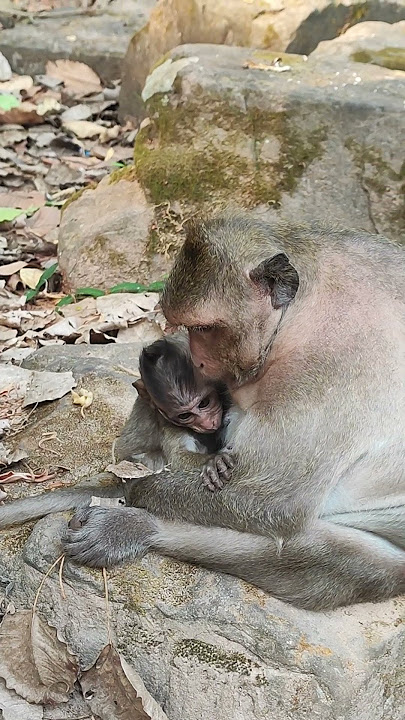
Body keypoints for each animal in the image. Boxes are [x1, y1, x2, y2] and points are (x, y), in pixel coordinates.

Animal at [0, 334, 234, 529]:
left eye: (204, 403)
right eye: (185, 416)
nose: (207, 423)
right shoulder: (165, 420)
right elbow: (177, 457)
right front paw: (212, 461)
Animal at [61, 214, 405, 611]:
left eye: (203, 327)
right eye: (189, 328)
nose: (197, 360)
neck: (299, 316)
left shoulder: (324, 371)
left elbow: (272, 503)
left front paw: (136, 486)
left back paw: (136, 528)